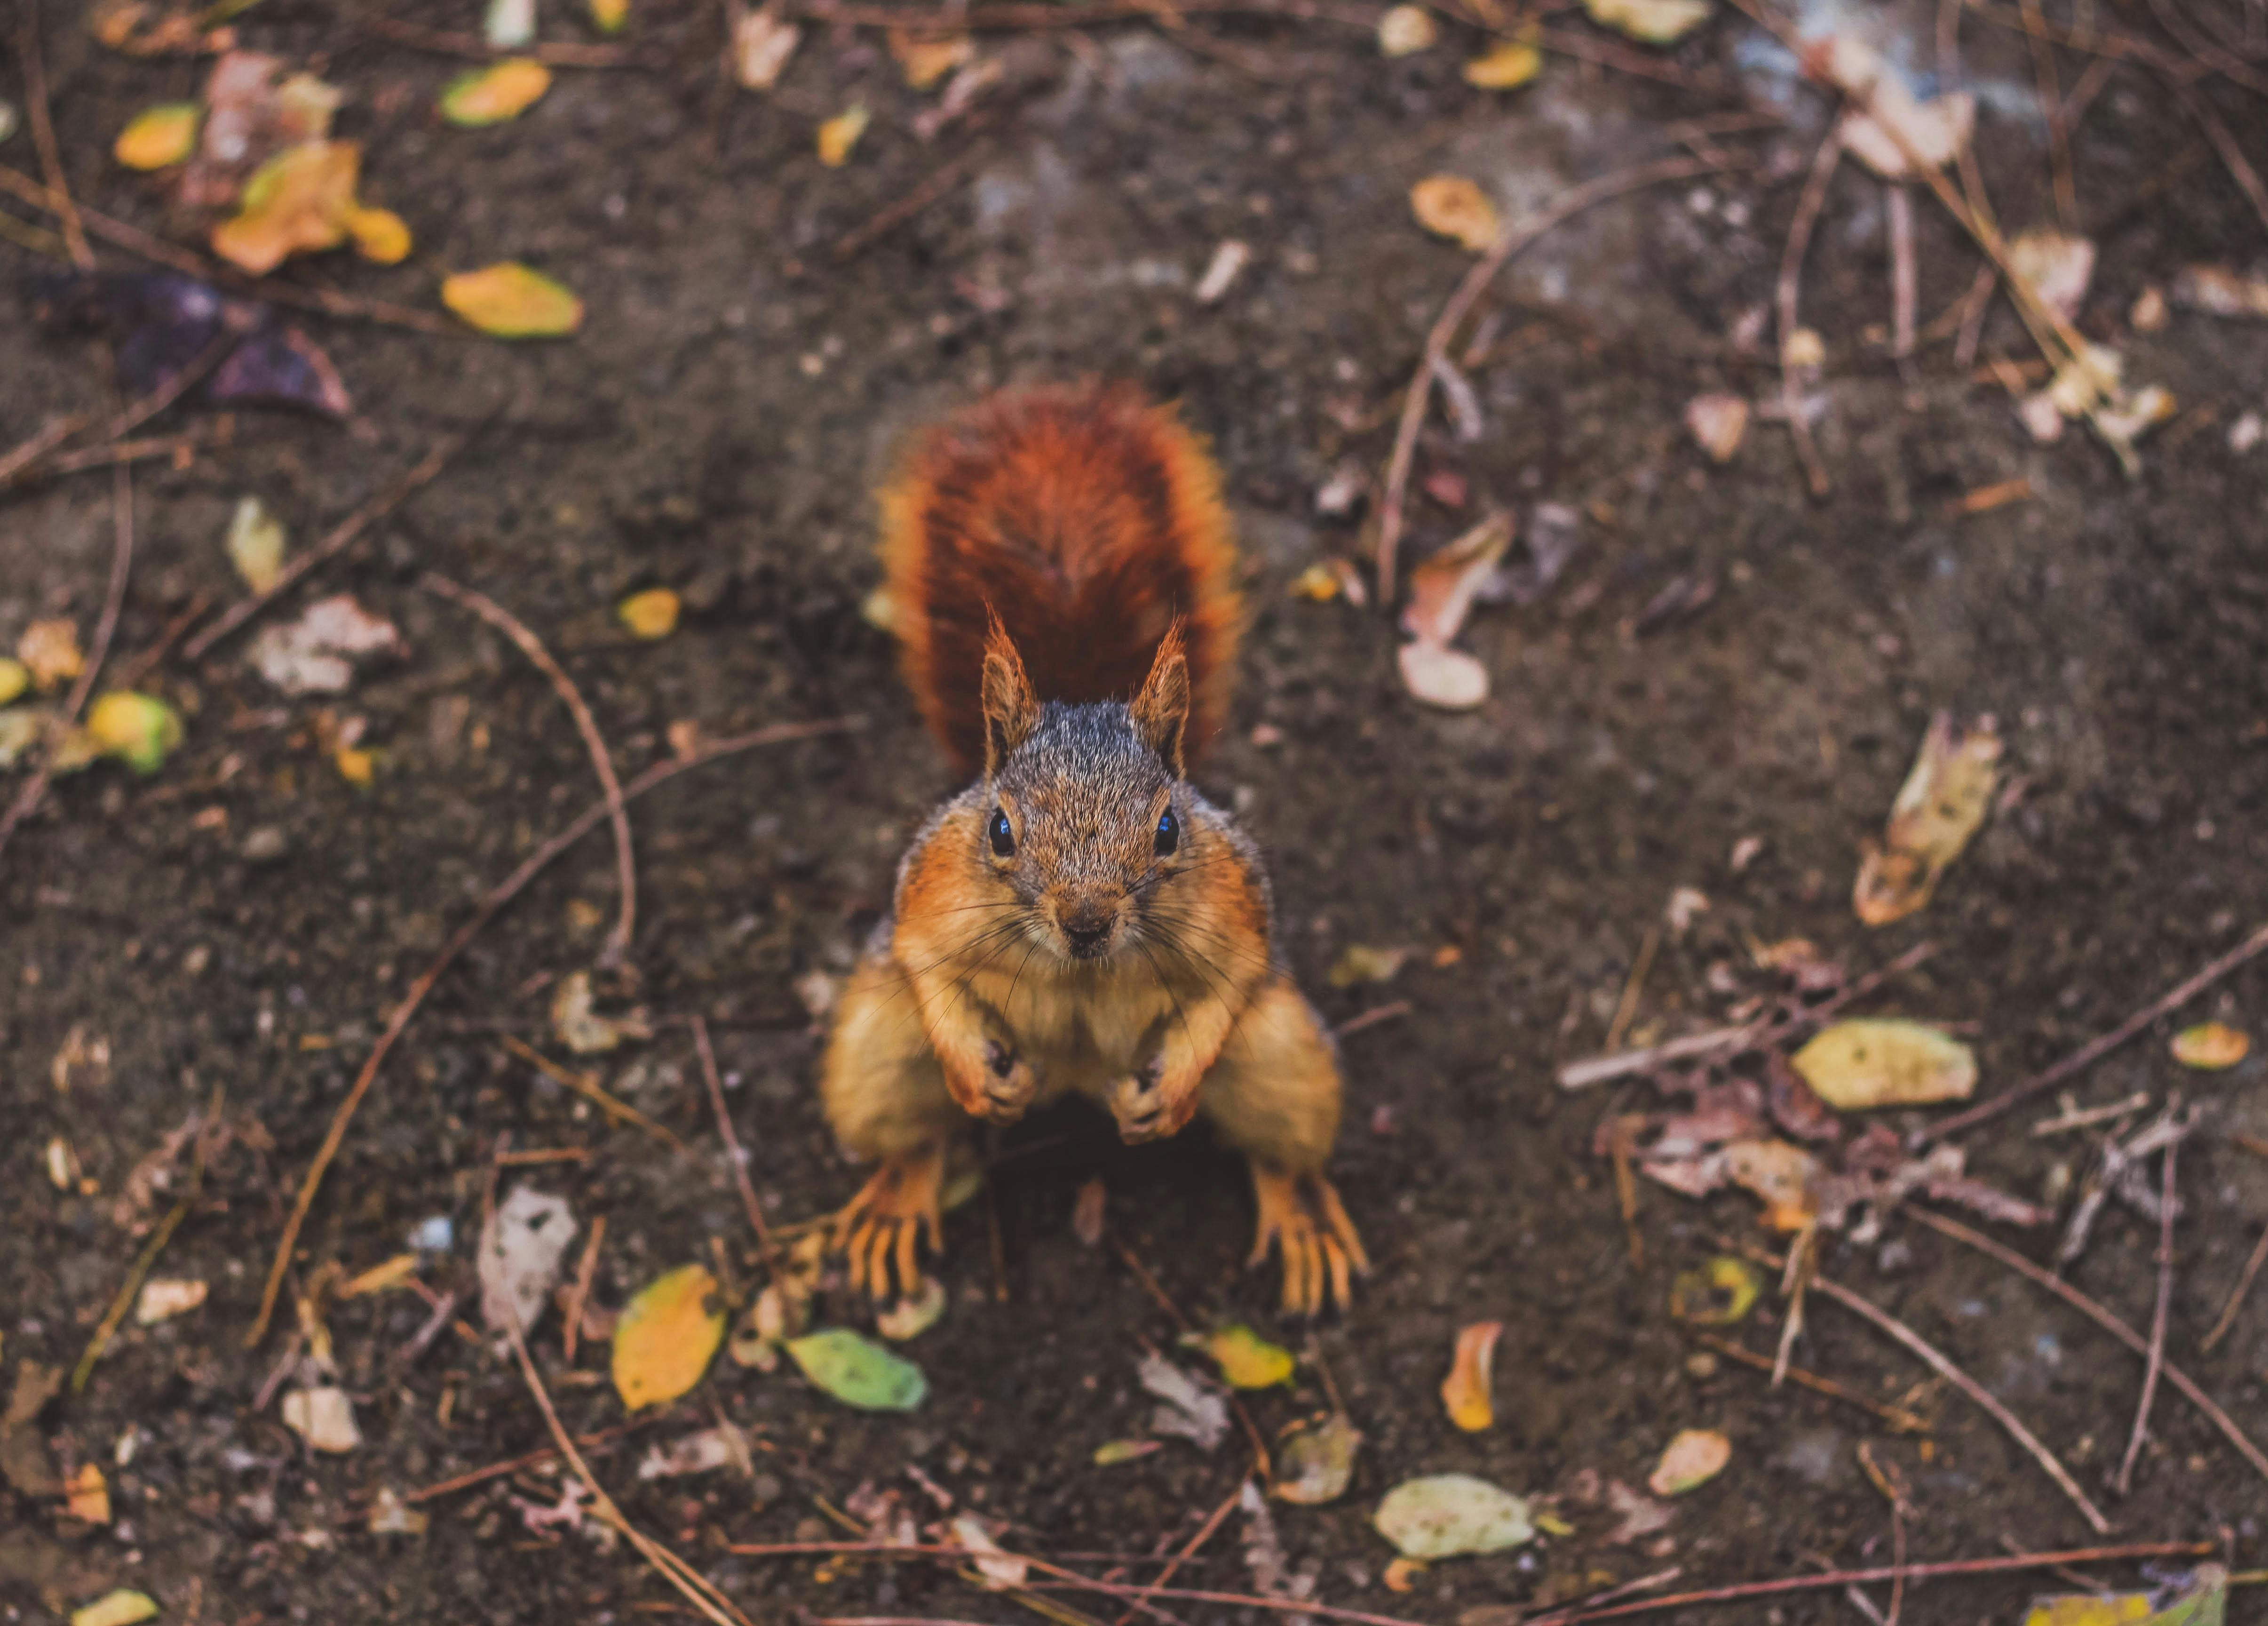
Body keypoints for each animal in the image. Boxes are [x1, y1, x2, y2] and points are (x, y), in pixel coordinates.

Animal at [818, 381, 1369, 1316]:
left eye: (1168, 828)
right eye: (999, 829)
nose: (1084, 921)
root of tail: (1072, 1082)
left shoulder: (1238, 909)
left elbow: (1231, 983)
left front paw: (1173, 1093)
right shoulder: (929, 893)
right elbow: (925, 963)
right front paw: (972, 1074)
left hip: (1284, 1060)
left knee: (1280, 1142)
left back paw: (1300, 1214)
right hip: (876, 1051)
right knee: (912, 1129)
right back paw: (897, 1193)